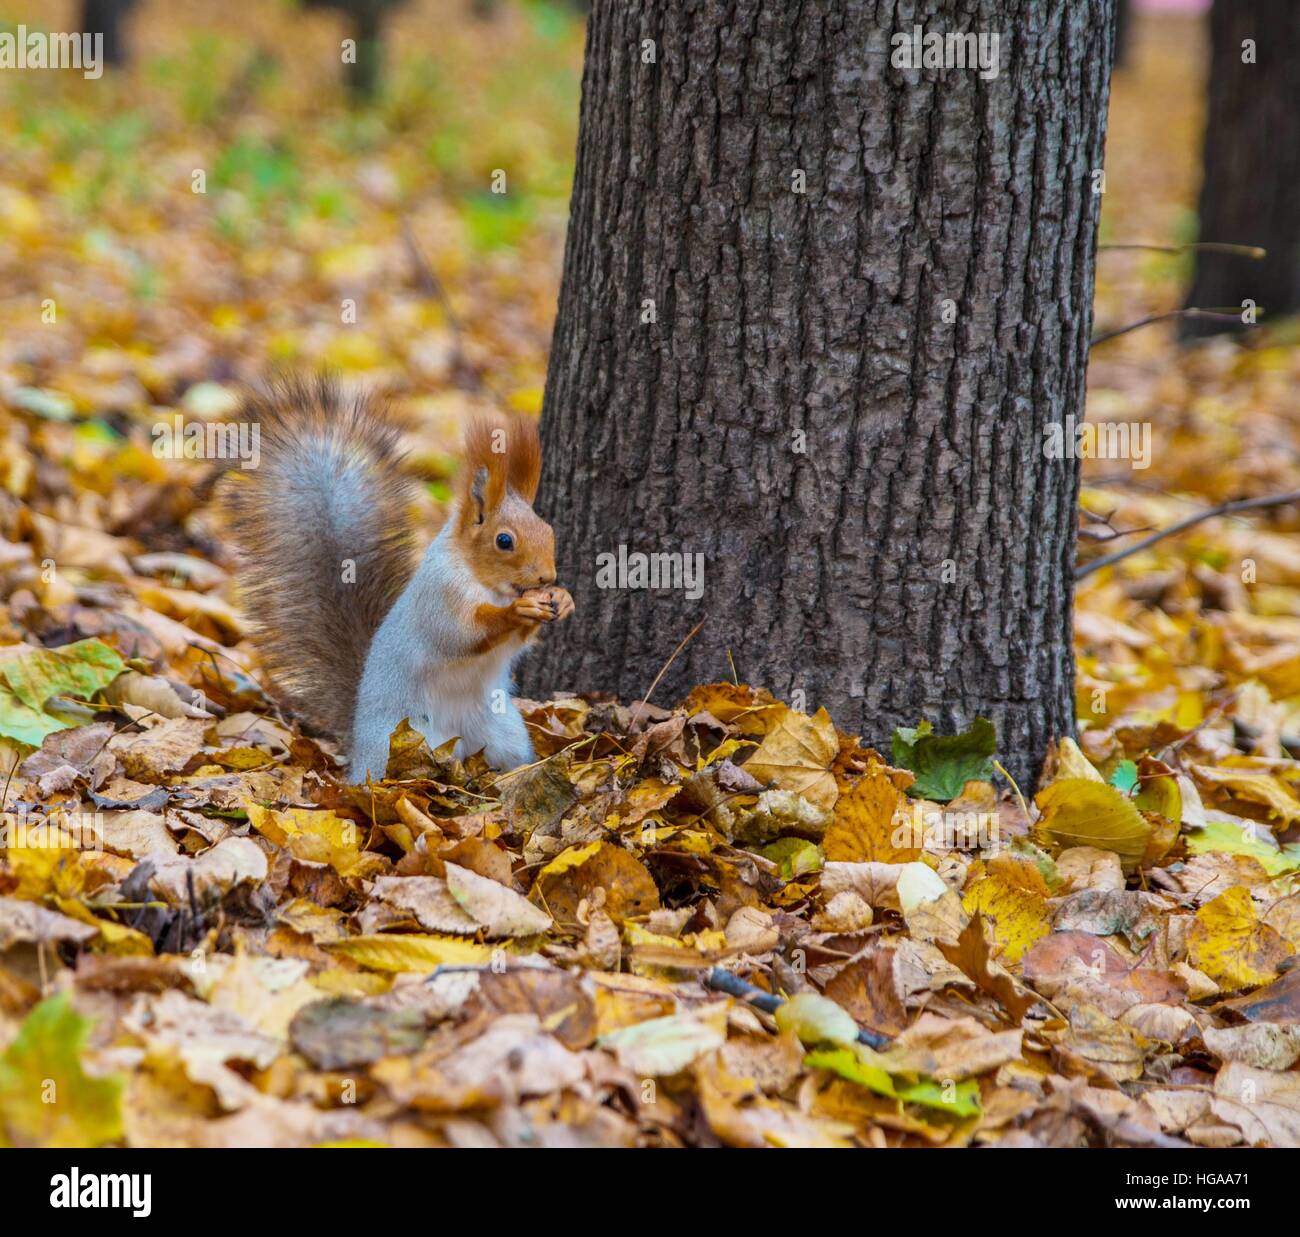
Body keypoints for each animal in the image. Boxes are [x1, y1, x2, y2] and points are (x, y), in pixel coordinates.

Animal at [220, 377, 574, 783]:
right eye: (504, 541)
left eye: (549, 530)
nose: (548, 576)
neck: (488, 585)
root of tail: (357, 742)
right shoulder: (438, 595)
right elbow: (460, 634)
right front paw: (518, 610)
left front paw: (562, 599)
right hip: (395, 739)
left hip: (503, 732)